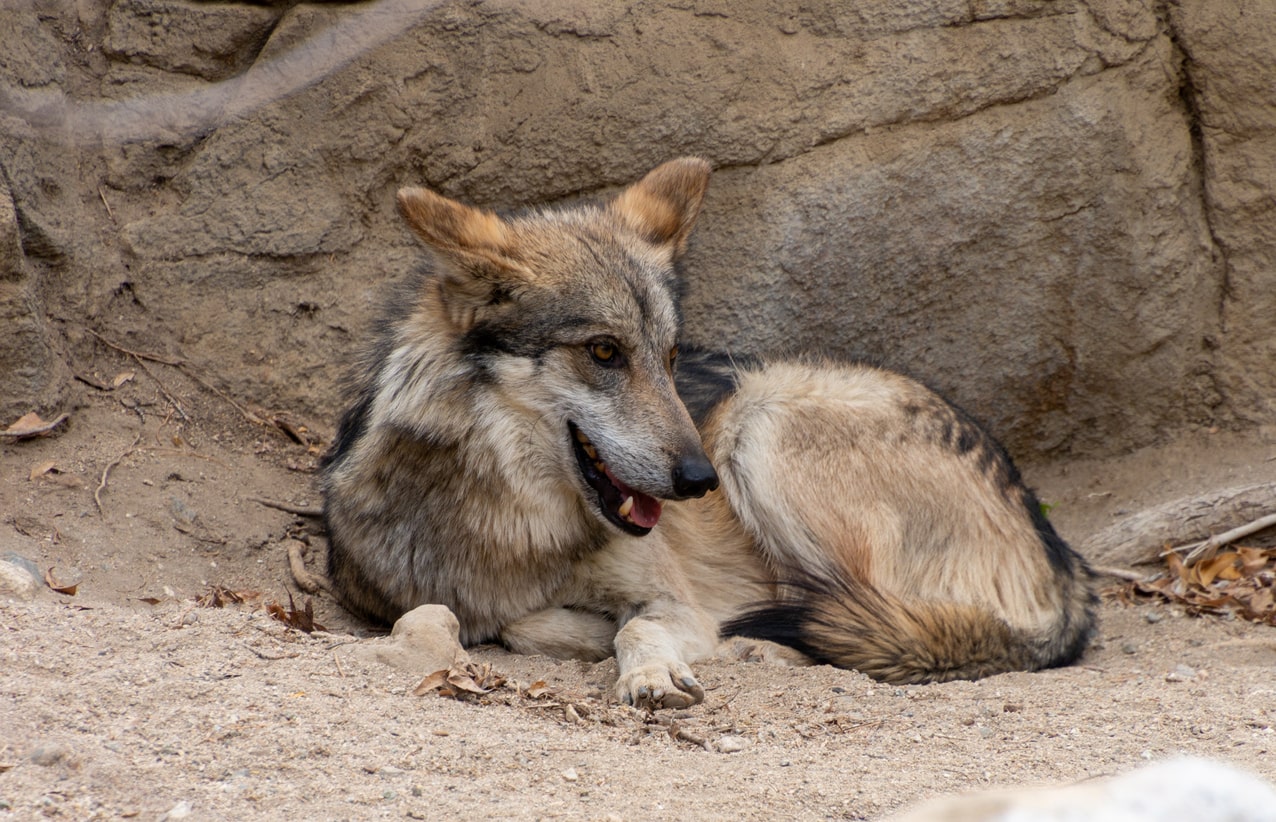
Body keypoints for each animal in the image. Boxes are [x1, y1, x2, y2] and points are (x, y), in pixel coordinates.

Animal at [321, 157, 1096, 709]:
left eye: (668, 356)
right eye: (604, 352)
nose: (699, 481)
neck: (517, 526)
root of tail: (1068, 566)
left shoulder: (675, 600)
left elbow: (634, 624)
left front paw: (651, 669)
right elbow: (509, 622)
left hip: (763, 423)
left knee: (873, 623)